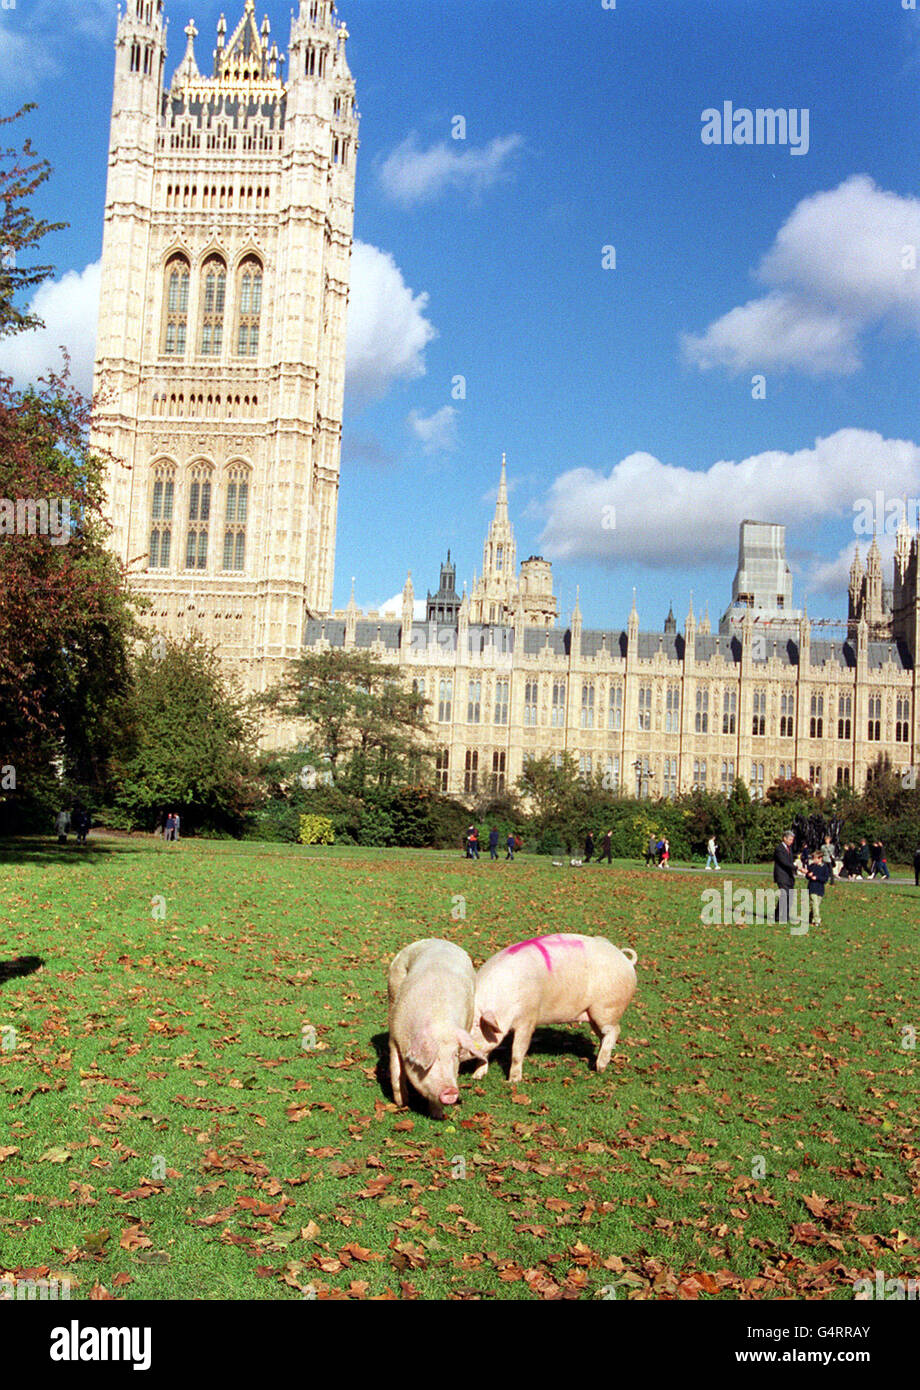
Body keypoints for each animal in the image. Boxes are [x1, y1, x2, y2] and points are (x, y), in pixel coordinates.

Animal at [386, 938, 486, 1119]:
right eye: (435, 1057)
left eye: (455, 1055)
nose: (451, 1091)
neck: (439, 1021)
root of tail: (440, 940)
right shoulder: (394, 1036)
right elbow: (396, 1071)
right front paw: (401, 1103)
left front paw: (438, 1115)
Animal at [470, 933, 637, 1083]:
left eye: (475, 1025)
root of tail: (625, 959)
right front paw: (476, 1076)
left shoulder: (528, 1018)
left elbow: (518, 1051)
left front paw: (512, 1081)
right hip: (593, 1015)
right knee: (604, 1035)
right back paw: (597, 1065)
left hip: (607, 1008)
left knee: (615, 1030)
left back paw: (600, 1068)